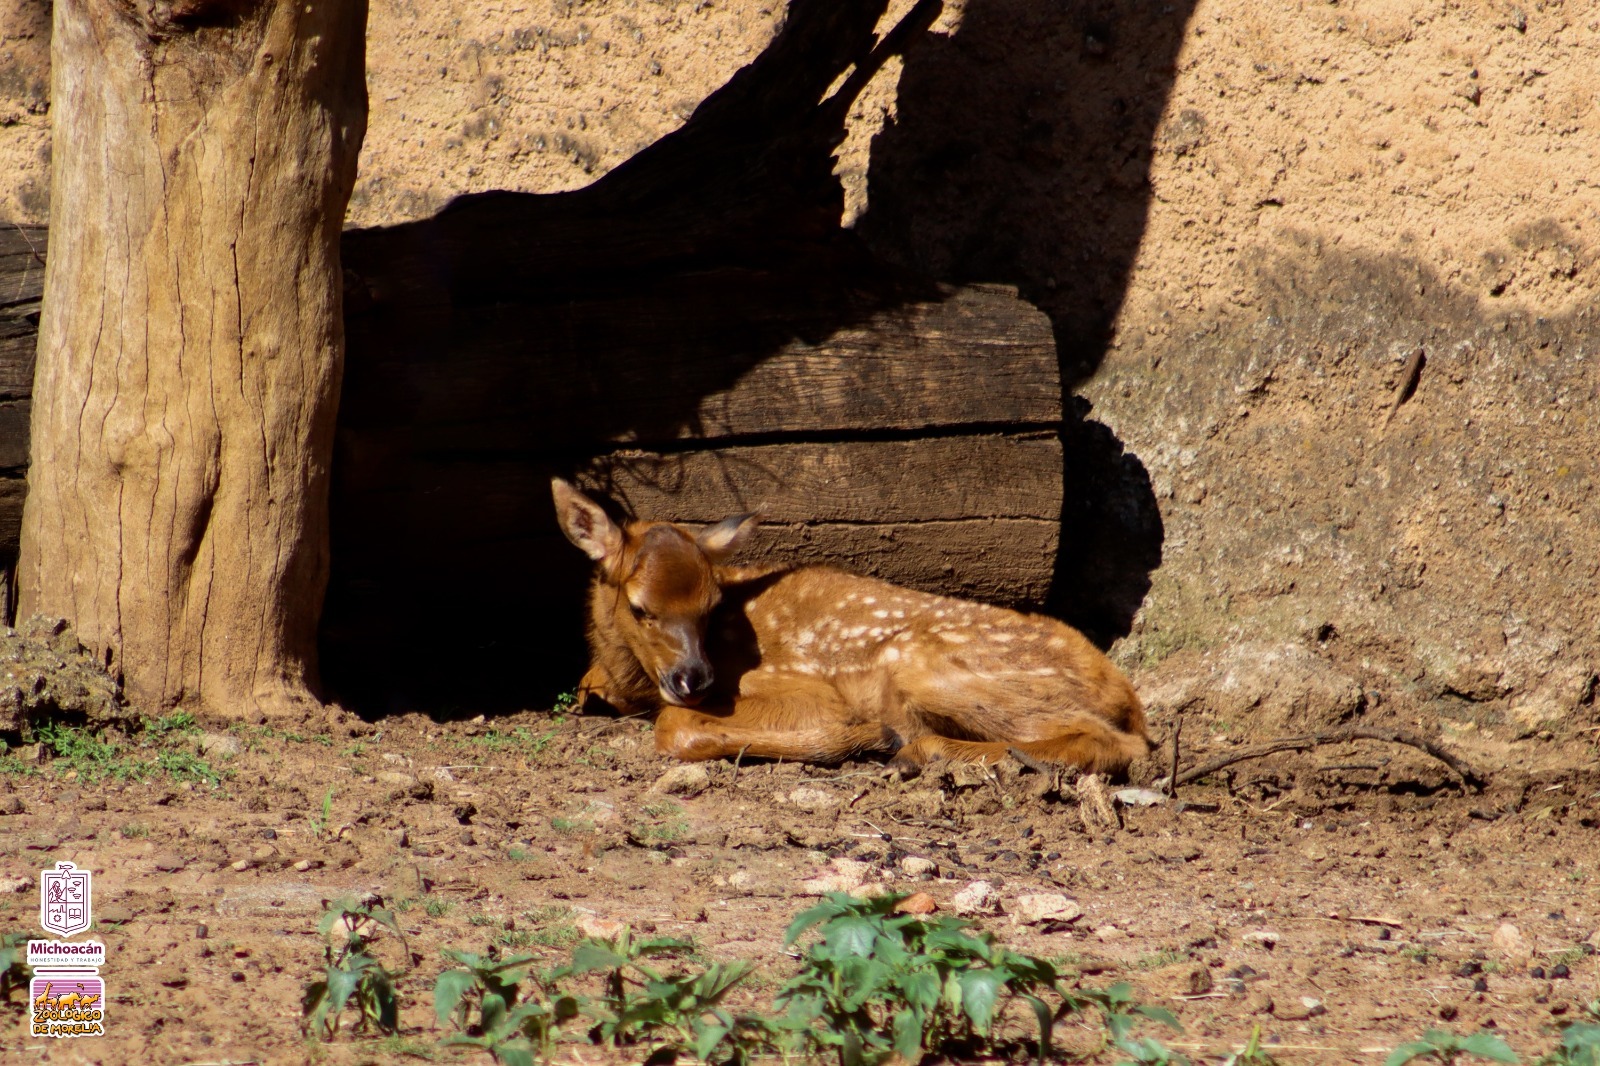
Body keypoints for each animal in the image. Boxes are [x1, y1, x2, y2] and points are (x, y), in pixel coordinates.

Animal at [552, 479, 1152, 778]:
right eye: (640, 608)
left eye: (712, 605)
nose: (693, 678)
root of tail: (1123, 691)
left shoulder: (799, 685)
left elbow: (672, 726)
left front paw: (863, 737)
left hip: (922, 662)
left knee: (1121, 743)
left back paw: (915, 751)